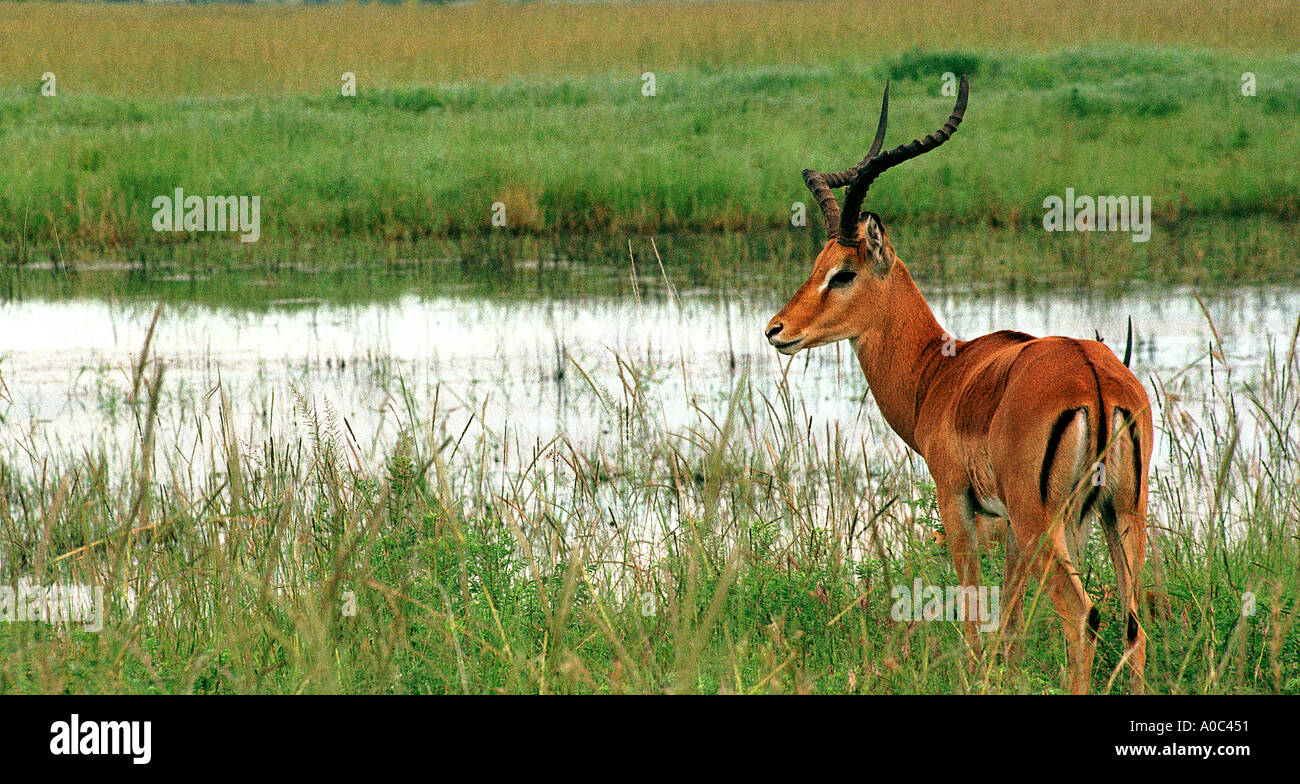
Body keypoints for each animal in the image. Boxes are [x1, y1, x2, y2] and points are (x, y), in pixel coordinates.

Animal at [766, 76, 1153, 694]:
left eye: (842, 273)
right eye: (817, 264)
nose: (777, 330)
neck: (939, 372)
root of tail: (1094, 377)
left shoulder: (958, 502)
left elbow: (974, 615)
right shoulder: (1014, 528)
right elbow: (1011, 622)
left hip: (1048, 521)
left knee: (1084, 617)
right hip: (1121, 514)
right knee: (1133, 625)